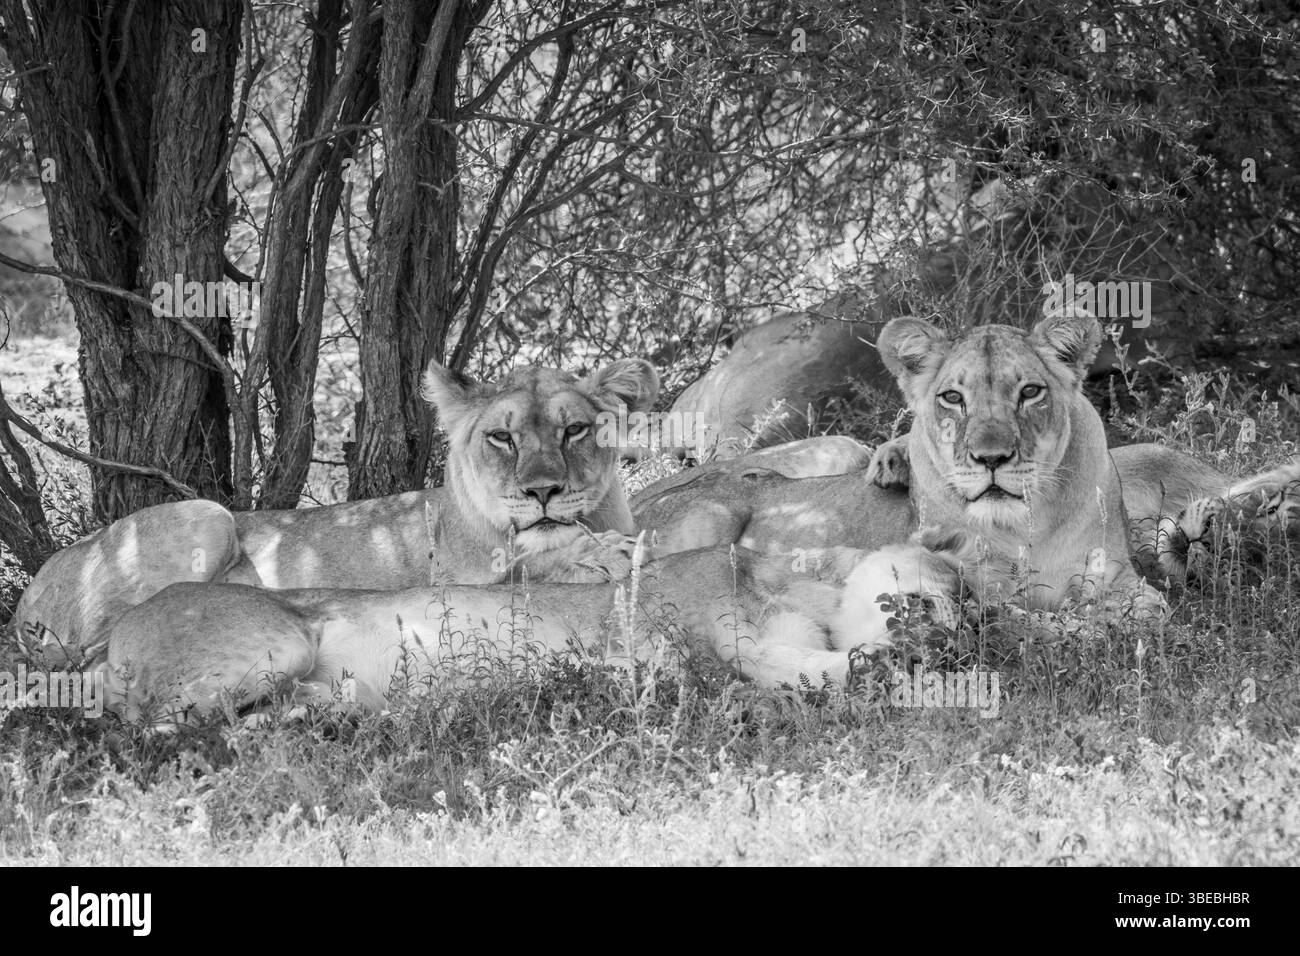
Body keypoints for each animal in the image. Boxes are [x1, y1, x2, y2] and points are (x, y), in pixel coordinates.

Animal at [11, 358, 660, 665]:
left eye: (574, 430)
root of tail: (30, 594)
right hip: (207, 515)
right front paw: (602, 555)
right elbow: (533, 563)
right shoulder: (458, 583)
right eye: (502, 438)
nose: (541, 492)